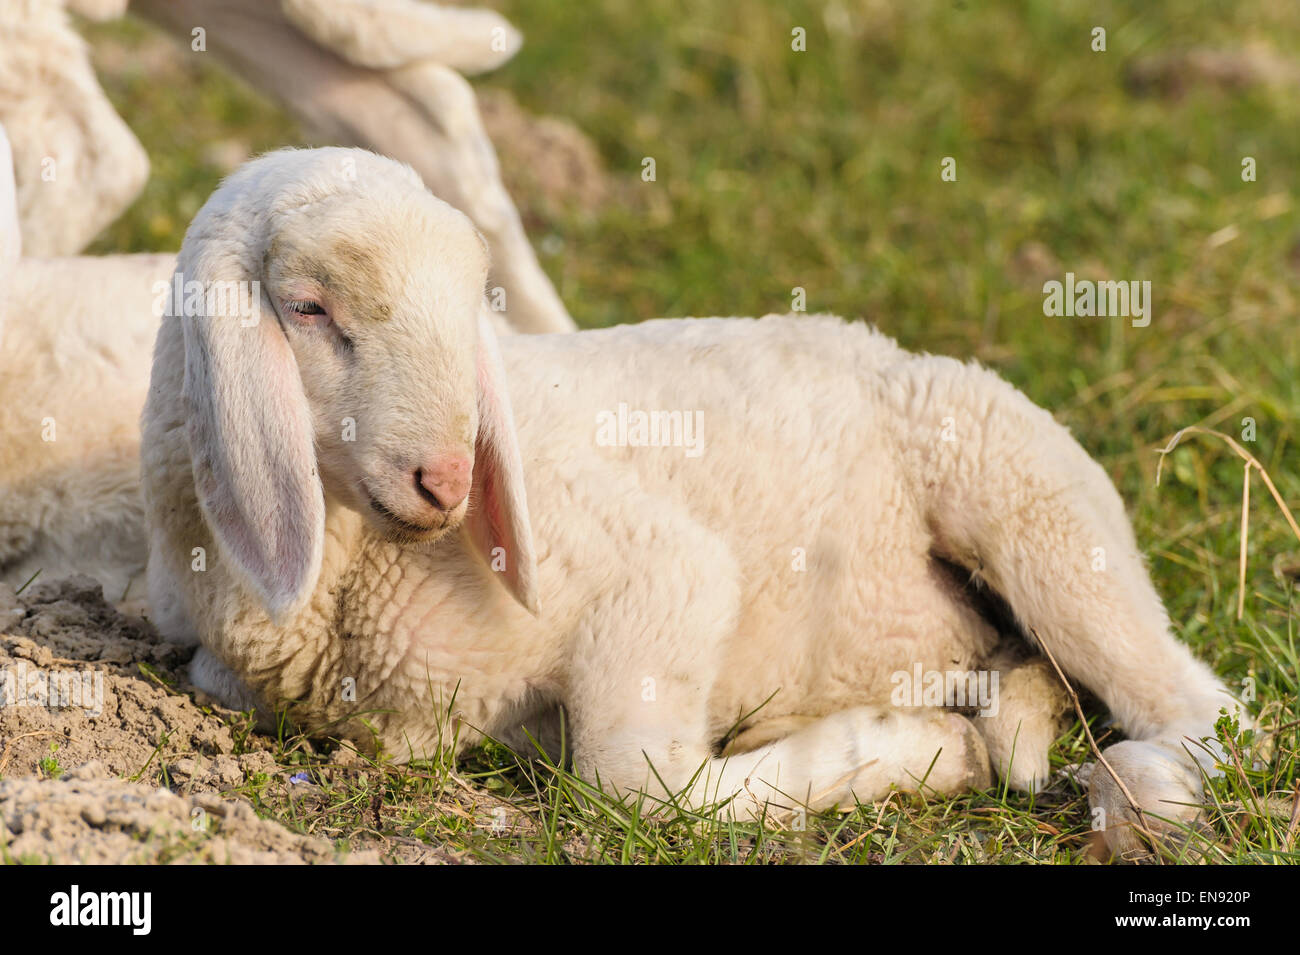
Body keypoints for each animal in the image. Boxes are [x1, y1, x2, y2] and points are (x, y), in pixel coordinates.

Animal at [140, 147, 1247, 857]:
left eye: (470, 309)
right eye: (309, 309)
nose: (448, 479)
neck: (351, 575)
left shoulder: (662, 571)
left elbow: (637, 783)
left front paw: (911, 751)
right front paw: (928, 742)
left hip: (1024, 495)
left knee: (1204, 709)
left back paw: (1142, 798)